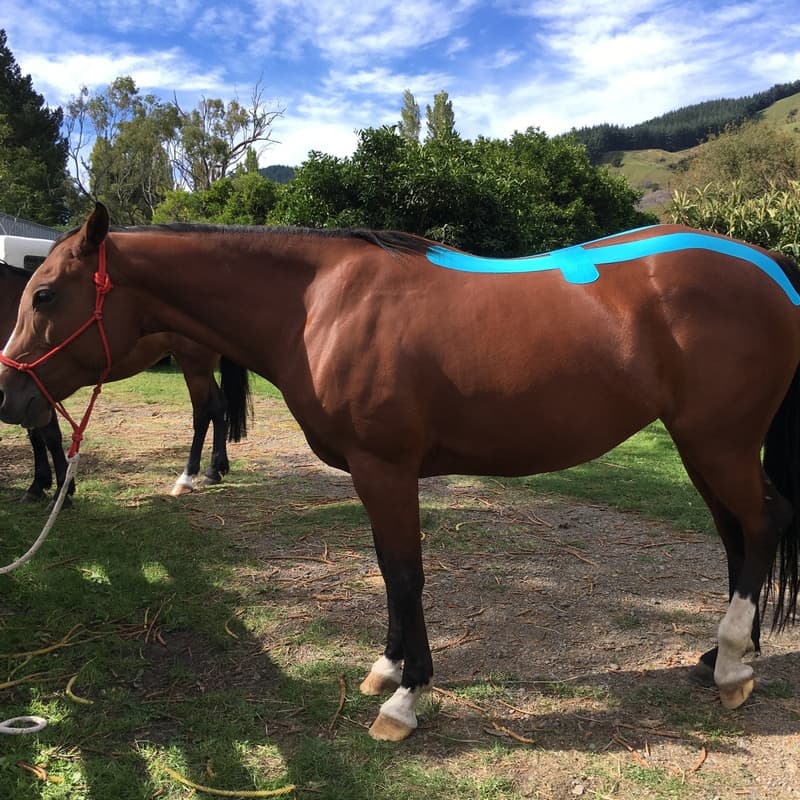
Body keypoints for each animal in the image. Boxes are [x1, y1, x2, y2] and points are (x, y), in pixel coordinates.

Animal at [0, 259, 250, 502]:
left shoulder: (36, 388)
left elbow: (50, 436)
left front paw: (63, 490)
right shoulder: (25, 395)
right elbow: (35, 435)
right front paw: (38, 485)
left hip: (195, 366)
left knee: (202, 413)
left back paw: (187, 478)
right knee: (218, 406)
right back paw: (214, 470)